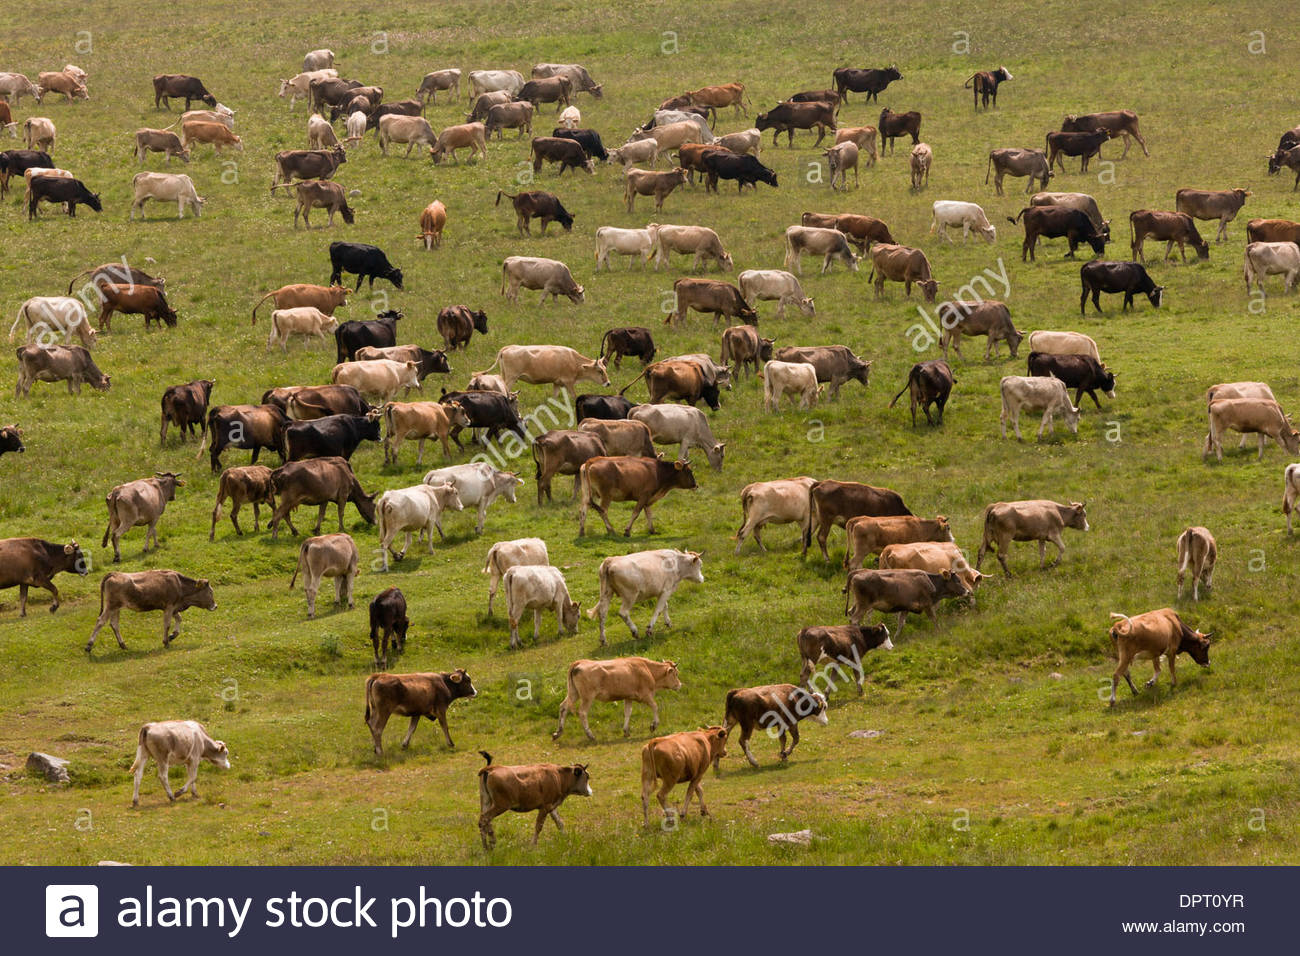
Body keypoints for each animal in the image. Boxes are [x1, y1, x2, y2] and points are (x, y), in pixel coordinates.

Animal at [86, 569, 216, 652]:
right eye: (210, 592)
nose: (215, 606)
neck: (179, 584)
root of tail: (114, 573)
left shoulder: (174, 607)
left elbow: (179, 619)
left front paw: (172, 636)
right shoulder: (169, 607)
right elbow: (167, 624)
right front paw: (166, 642)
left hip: (116, 608)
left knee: (114, 624)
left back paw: (123, 645)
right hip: (111, 606)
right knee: (100, 621)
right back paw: (89, 646)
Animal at [554, 656, 682, 740]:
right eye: (675, 673)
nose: (680, 684)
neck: (647, 669)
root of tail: (579, 662)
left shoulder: (628, 697)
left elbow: (628, 712)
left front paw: (626, 731)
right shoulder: (646, 695)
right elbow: (655, 706)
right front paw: (653, 725)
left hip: (574, 693)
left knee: (563, 707)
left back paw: (558, 732)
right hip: (587, 697)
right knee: (583, 712)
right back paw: (590, 735)